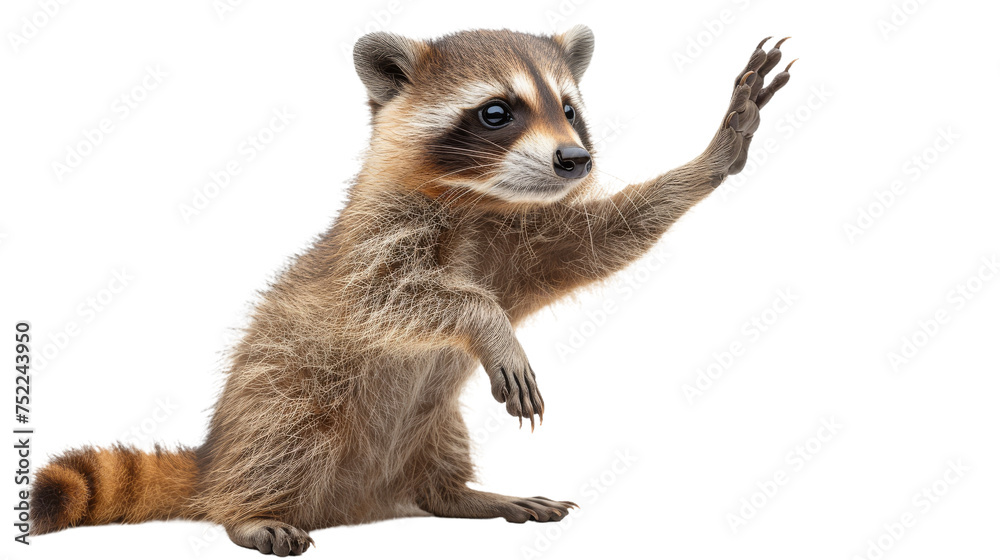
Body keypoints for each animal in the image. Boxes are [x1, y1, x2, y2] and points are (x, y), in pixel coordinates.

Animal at [30, 27, 792, 556]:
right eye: (497, 111)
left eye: (570, 109)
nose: (576, 160)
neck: (474, 198)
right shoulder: (373, 244)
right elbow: (389, 299)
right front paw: (486, 323)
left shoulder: (521, 241)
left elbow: (602, 239)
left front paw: (710, 158)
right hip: (281, 395)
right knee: (283, 436)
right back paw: (249, 512)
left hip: (435, 424)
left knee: (437, 462)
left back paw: (462, 496)